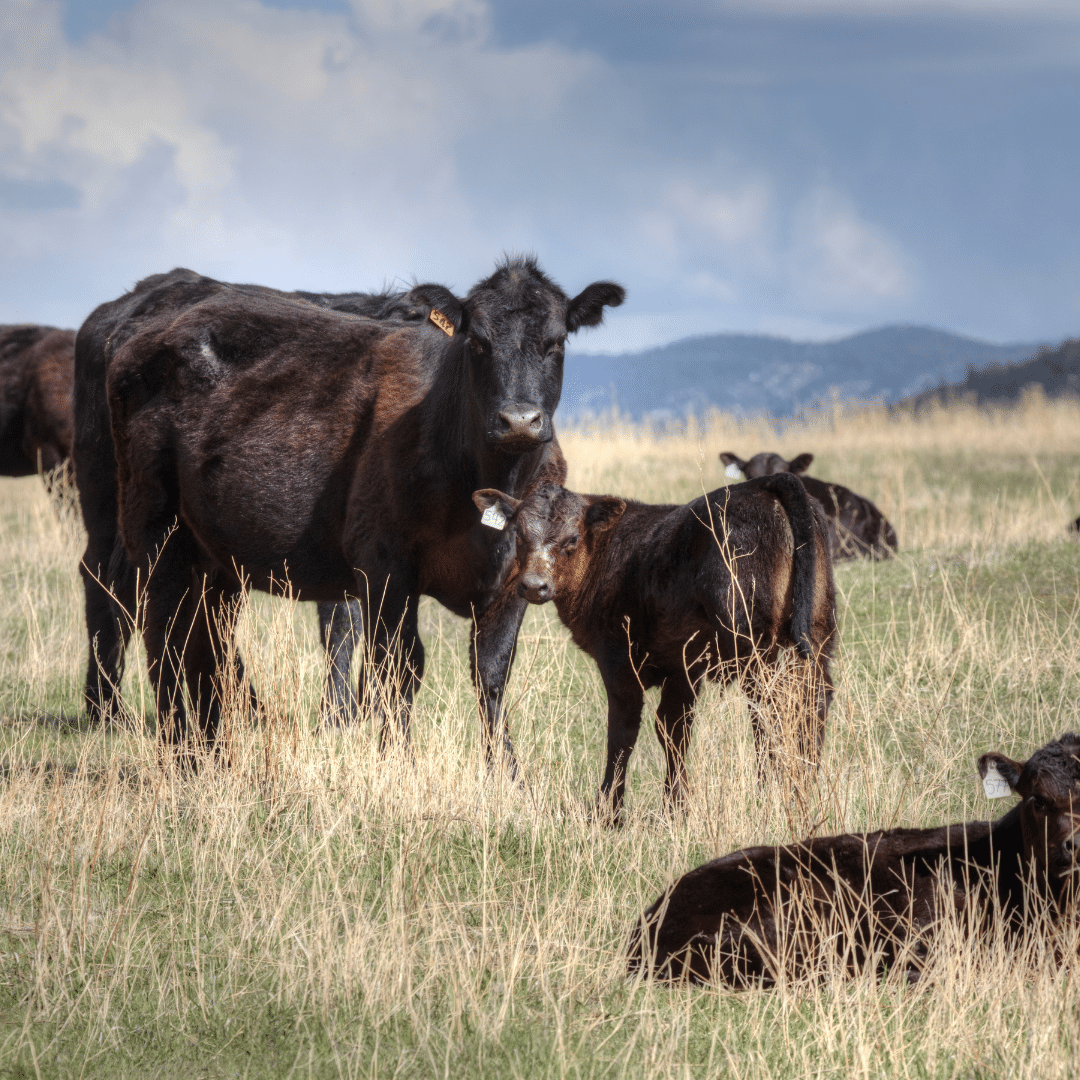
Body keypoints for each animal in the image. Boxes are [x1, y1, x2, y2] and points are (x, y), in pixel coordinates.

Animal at [87, 258, 623, 765]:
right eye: (477, 343)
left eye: (556, 342)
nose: (518, 420)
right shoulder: (383, 563)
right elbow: (398, 667)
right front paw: (397, 762)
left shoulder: (515, 579)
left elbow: (490, 673)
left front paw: (506, 774)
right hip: (153, 529)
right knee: (161, 633)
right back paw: (177, 751)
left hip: (214, 556)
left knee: (204, 644)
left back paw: (212, 753)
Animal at [473, 472, 836, 821]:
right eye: (519, 536)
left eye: (571, 540)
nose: (534, 586)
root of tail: (765, 483)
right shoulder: (683, 666)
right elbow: (674, 728)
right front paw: (675, 808)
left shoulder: (619, 661)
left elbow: (623, 732)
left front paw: (608, 813)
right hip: (816, 633)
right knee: (813, 702)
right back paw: (805, 785)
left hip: (753, 642)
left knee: (771, 709)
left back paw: (772, 792)